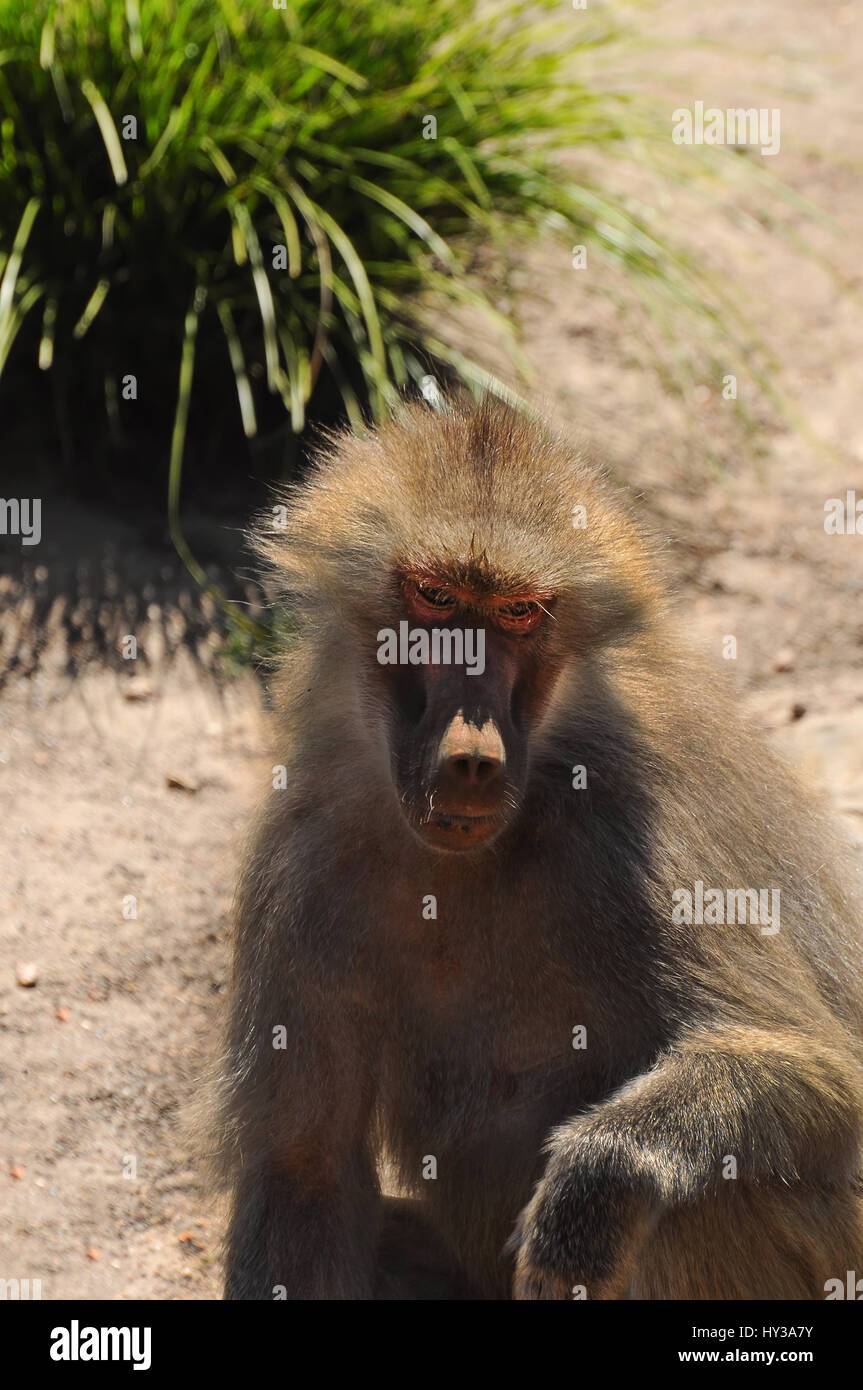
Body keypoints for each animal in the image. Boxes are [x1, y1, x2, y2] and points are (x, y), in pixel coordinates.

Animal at [214, 395, 863, 1300]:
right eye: (435, 597)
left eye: (518, 613)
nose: (473, 756)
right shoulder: (307, 853)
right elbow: (301, 1169)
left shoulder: (637, 824)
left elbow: (813, 1066)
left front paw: (595, 1184)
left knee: (691, 1208)